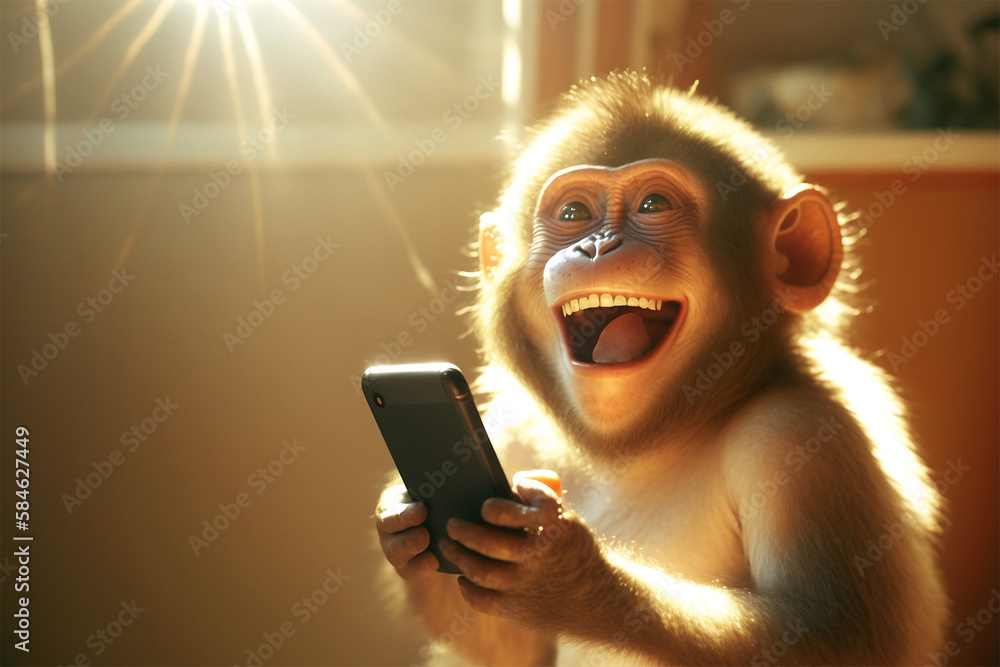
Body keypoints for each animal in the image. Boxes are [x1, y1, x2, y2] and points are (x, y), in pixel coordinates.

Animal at [374, 71, 947, 666]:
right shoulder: (512, 432)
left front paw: (562, 575)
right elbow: (511, 648)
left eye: (654, 203)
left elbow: (831, 632)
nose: (597, 245)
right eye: (574, 214)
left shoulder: (802, 438)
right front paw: (404, 523)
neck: (649, 440)